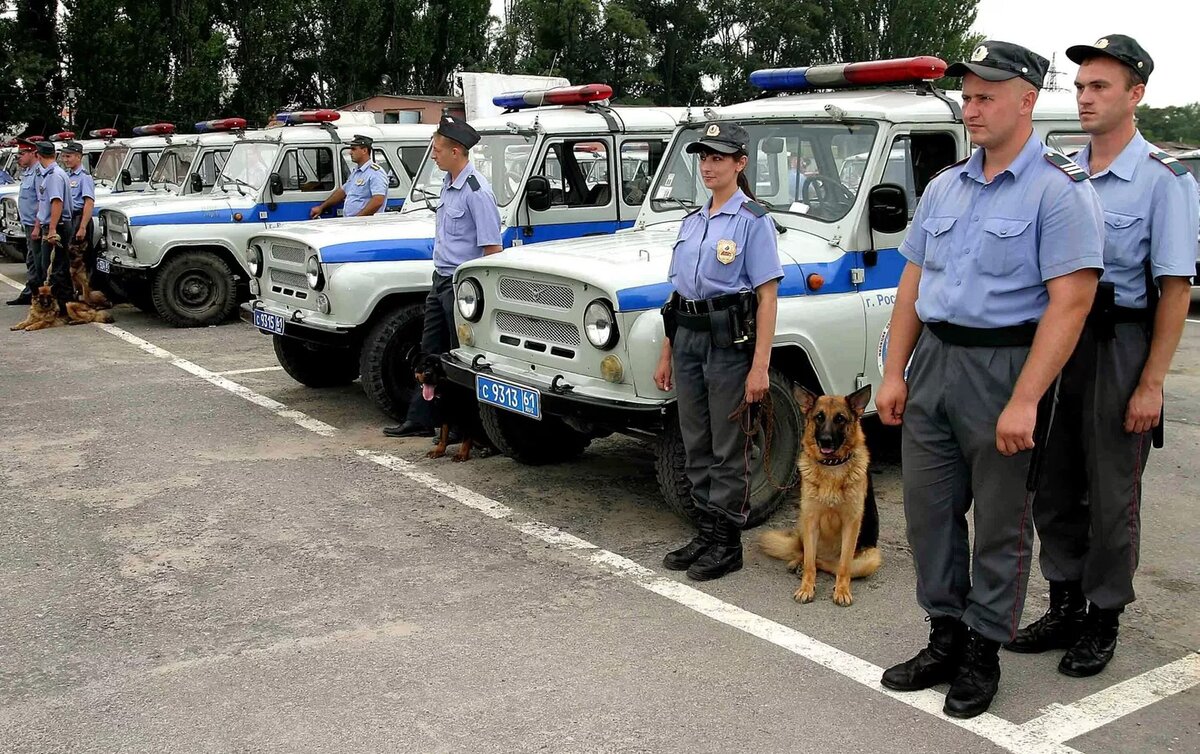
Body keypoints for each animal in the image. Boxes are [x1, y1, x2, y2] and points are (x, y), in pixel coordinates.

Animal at [758, 381, 883, 607]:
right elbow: (809, 562)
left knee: (831, 564)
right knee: (808, 555)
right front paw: (806, 588)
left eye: (840, 419)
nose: (825, 440)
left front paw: (842, 591)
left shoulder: (851, 524)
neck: (832, 467)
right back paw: (798, 563)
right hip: (802, 522)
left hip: (870, 559)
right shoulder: (812, 520)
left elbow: (843, 566)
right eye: (819, 417)